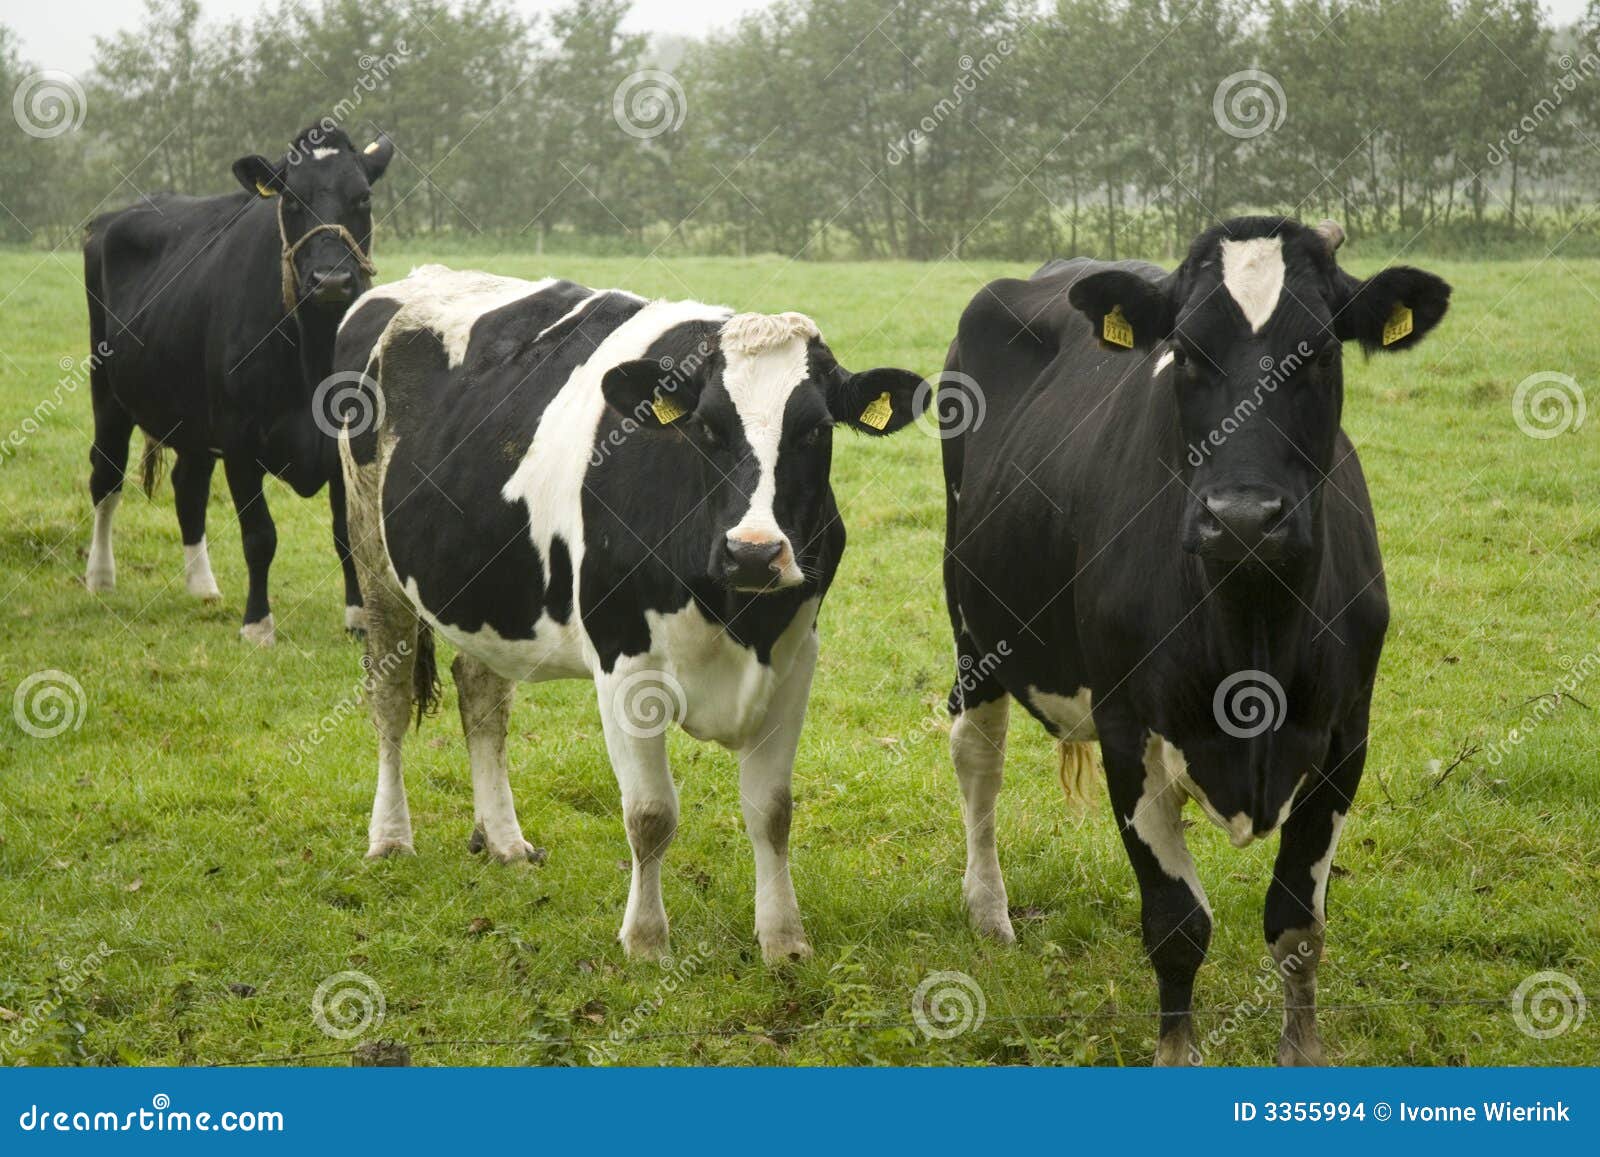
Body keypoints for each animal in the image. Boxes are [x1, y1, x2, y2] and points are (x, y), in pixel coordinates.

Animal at [82, 124, 394, 644]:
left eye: (364, 197)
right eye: (291, 200)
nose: (331, 280)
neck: (311, 354)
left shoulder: (346, 438)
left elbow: (346, 533)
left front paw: (358, 618)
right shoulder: (239, 438)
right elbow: (259, 535)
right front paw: (257, 624)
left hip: (192, 414)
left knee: (188, 486)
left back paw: (202, 586)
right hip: (107, 392)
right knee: (105, 477)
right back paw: (100, 576)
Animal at [332, 266, 926, 962]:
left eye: (816, 429)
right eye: (707, 427)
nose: (754, 552)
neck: (733, 616)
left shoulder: (794, 660)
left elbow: (773, 810)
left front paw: (784, 940)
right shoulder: (624, 663)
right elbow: (650, 815)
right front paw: (645, 941)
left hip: (489, 594)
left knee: (481, 696)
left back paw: (503, 840)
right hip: (371, 555)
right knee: (391, 699)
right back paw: (390, 837)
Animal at [939, 216, 1450, 1064]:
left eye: (1321, 351)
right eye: (1184, 352)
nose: (1242, 518)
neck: (1253, 625)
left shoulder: (1346, 736)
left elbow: (1296, 925)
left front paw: (1302, 1051)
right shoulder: (1128, 733)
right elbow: (1177, 926)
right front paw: (1175, 1052)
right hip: (973, 623)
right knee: (978, 753)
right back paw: (988, 911)